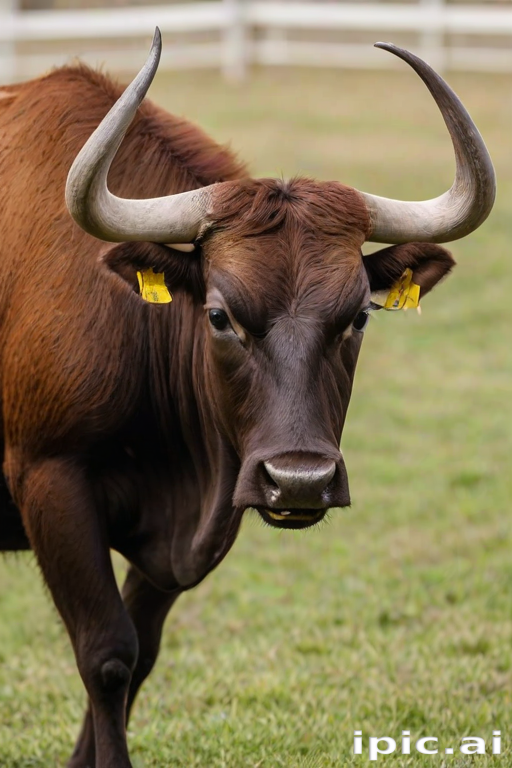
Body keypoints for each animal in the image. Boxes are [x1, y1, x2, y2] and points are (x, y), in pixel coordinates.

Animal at [0, 28, 495, 768]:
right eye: (218, 315)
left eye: (359, 316)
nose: (299, 480)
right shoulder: (50, 481)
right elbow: (108, 656)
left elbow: (141, 658)